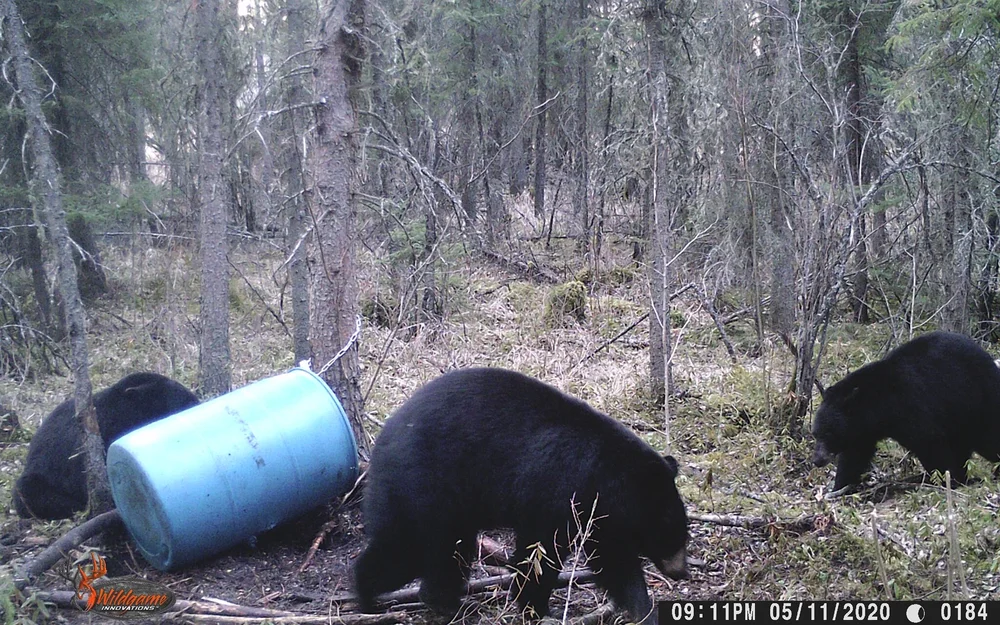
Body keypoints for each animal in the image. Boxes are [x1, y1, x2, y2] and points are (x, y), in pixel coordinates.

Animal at [354, 368, 688, 624]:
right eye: (671, 532)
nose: (682, 571)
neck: (605, 475)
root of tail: (380, 443)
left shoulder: (595, 513)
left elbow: (614, 560)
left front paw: (644, 610)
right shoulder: (555, 488)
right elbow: (540, 553)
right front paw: (536, 608)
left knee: (448, 550)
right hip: (424, 484)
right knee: (411, 546)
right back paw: (370, 598)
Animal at [812, 331, 1000, 491]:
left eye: (828, 434)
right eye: (816, 434)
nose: (817, 460)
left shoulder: (912, 406)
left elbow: (930, 441)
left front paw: (945, 479)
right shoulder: (863, 430)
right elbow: (854, 455)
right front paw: (839, 487)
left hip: (979, 400)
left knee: (989, 438)